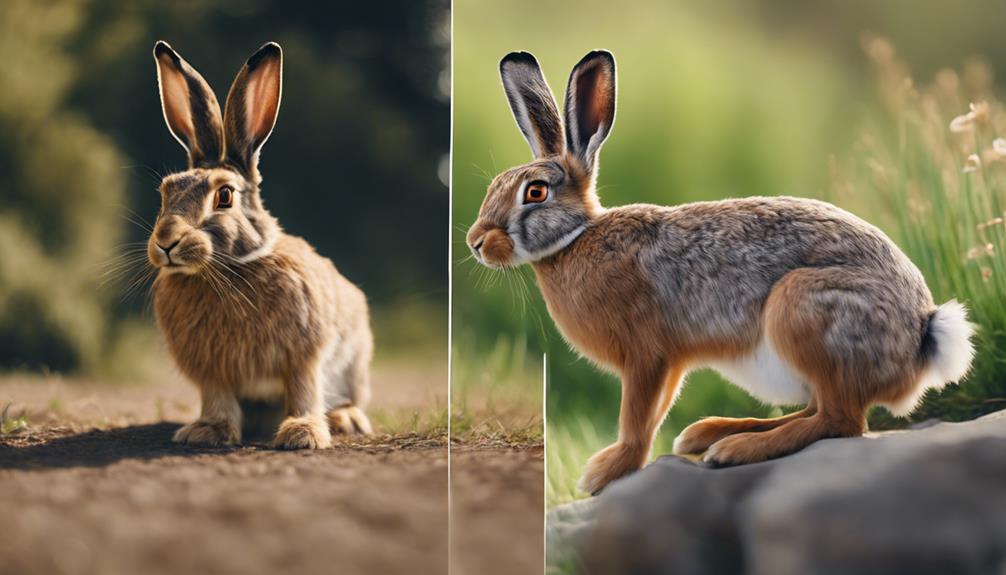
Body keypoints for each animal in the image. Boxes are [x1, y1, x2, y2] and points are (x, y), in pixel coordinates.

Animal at [148, 41, 373, 449]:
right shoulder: (212, 369)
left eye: (224, 195)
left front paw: (302, 435)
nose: (166, 242)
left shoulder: (303, 355)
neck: (226, 270)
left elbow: (304, 390)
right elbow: (217, 397)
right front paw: (206, 431)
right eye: (165, 192)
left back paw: (345, 419)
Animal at [466, 50, 976, 494]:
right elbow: (655, 413)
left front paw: (606, 471)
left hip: (800, 308)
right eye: (494, 187)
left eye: (535, 192)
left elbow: (636, 419)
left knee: (842, 421)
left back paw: (738, 449)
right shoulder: (670, 363)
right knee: (820, 410)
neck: (576, 239)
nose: (475, 242)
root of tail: (921, 336)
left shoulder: (647, 355)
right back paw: (712, 434)